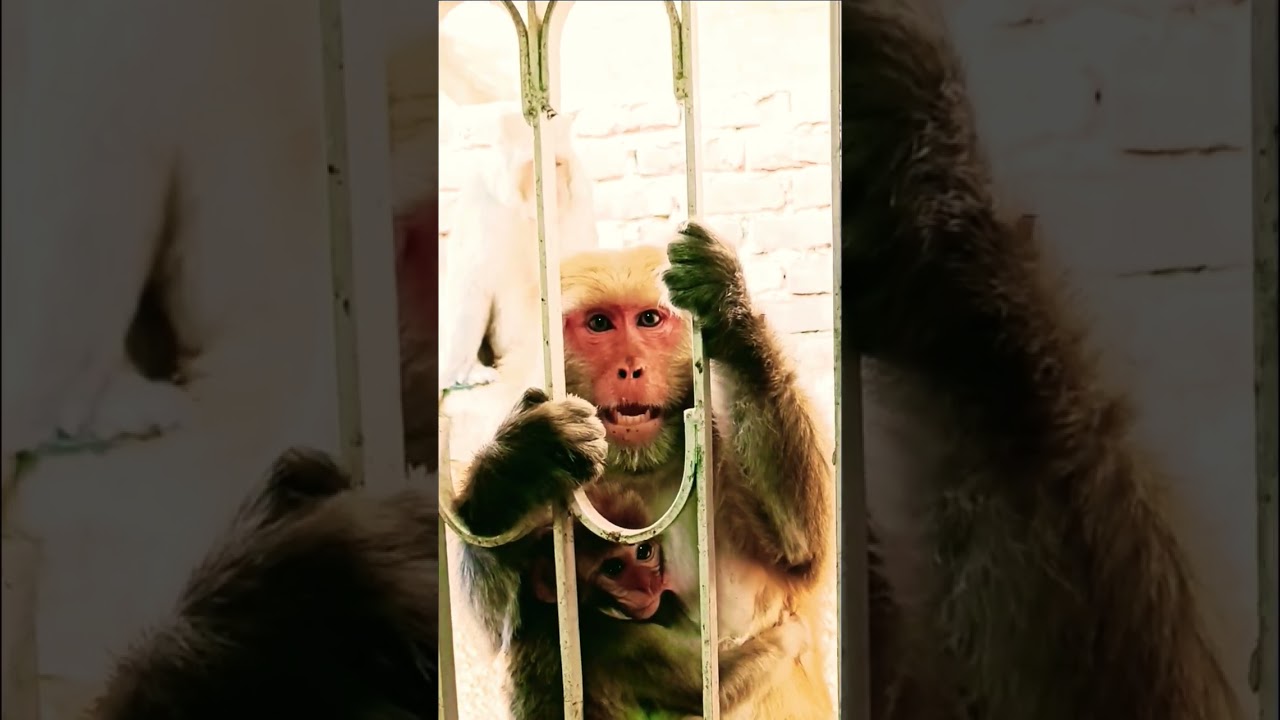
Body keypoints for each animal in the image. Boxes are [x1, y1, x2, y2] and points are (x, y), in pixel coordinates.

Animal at [437, 105, 601, 401]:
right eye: (546, 164)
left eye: (559, 163)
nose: (558, 189)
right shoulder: (483, 209)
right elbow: (470, 286)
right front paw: (461, 372)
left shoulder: (576, 211)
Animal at [451, 232, 837, 719]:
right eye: (600, 324)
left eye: (649, 319)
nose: (631, 367)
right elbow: (499, 623)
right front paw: (519, 466)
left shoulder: (720, 438)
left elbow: (802, 548)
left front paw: (730, 316)